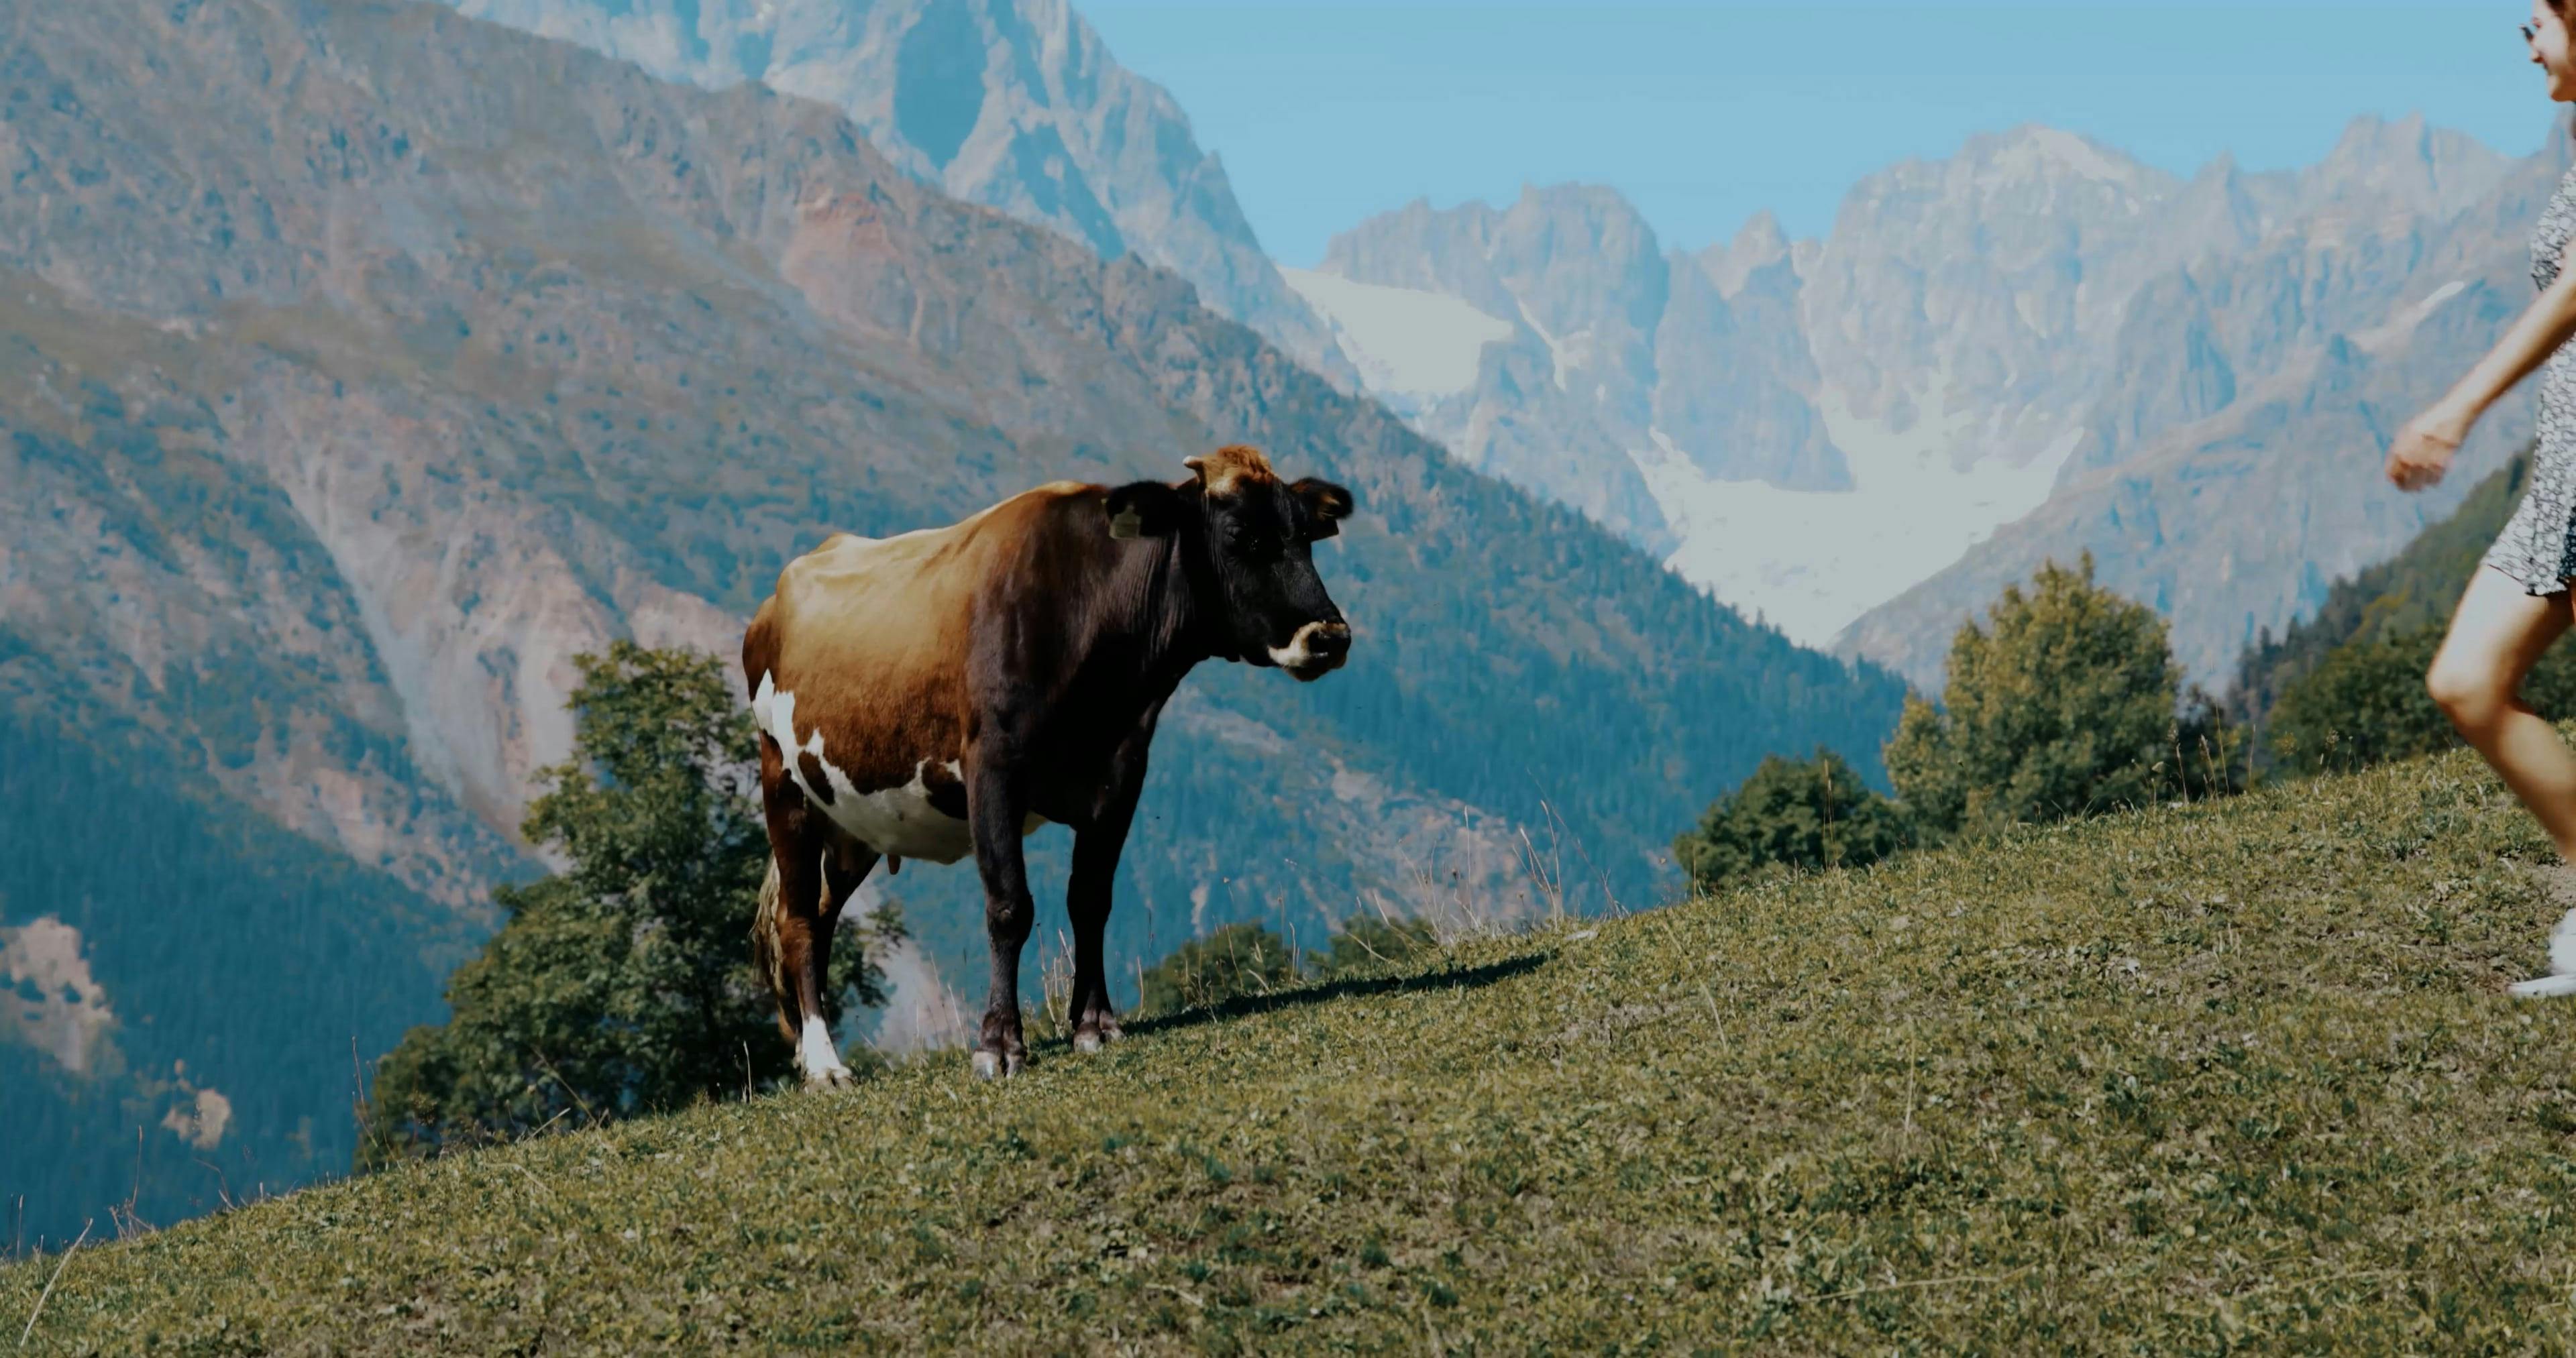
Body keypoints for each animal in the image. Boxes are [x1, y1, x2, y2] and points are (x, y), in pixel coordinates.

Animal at [741, 445, 1356, 1082]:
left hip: (851, 822)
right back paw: (824, 1063)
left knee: (821, 916)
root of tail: (778, 598)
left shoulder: (1122, 774)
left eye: (1306, 534)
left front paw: (1094, 1023)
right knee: (796, 921)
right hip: (782, 782)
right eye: (1239, 535)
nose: (1330, 635)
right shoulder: (991, 769)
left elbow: (1090, 898)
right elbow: (1010, 904)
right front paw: (999, 1043)